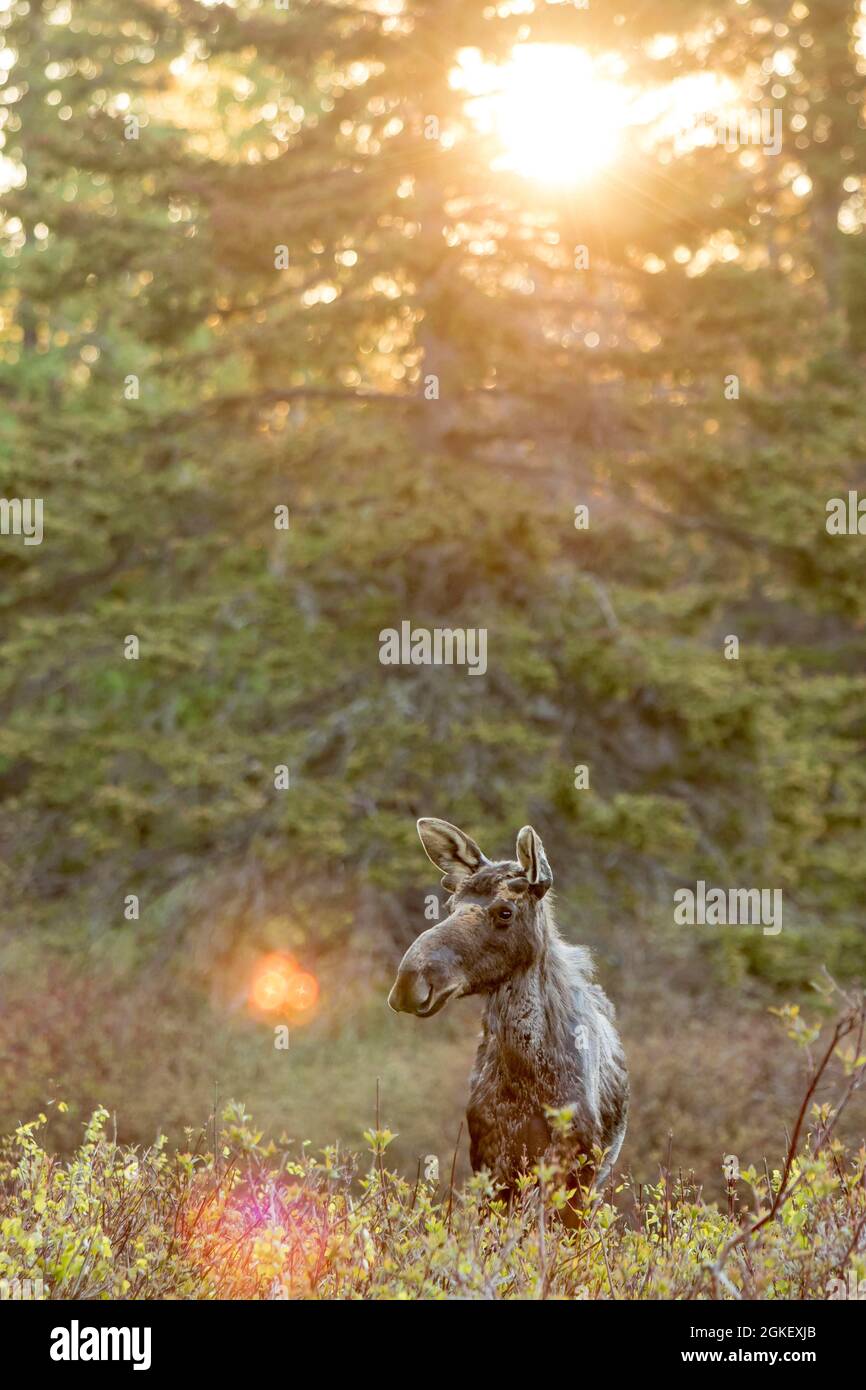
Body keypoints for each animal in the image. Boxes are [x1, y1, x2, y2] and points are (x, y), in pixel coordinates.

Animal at [388, 818, 628, 1218]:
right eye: (450, 905)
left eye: (505, 911)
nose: (409, 981)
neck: (528, 1077)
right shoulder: (491, 1157)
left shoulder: (580, 1164)